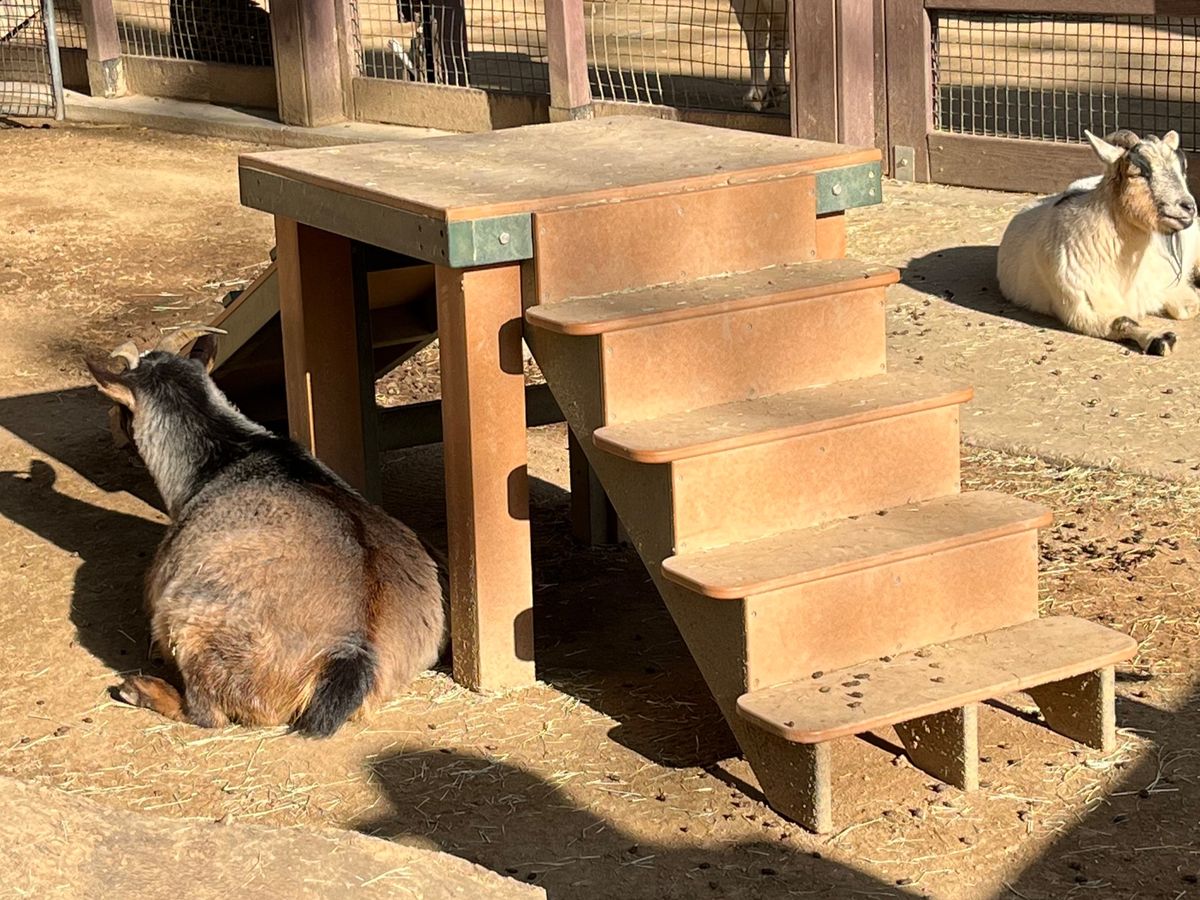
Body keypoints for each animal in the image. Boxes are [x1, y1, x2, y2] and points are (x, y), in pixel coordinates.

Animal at [88, 327, 448, 736]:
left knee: (207, 714)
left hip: (192, 627)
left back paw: (142, 690)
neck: (227, 453)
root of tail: (352, 650)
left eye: (120, 408)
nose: (116, 435)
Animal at [997, 129, 1200, 355]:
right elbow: (1121, 321)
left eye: (1182, 168)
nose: (1188, 207)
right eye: (1136, 172)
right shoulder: (1083, 307)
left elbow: (1185, 307)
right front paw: (1159, 338)